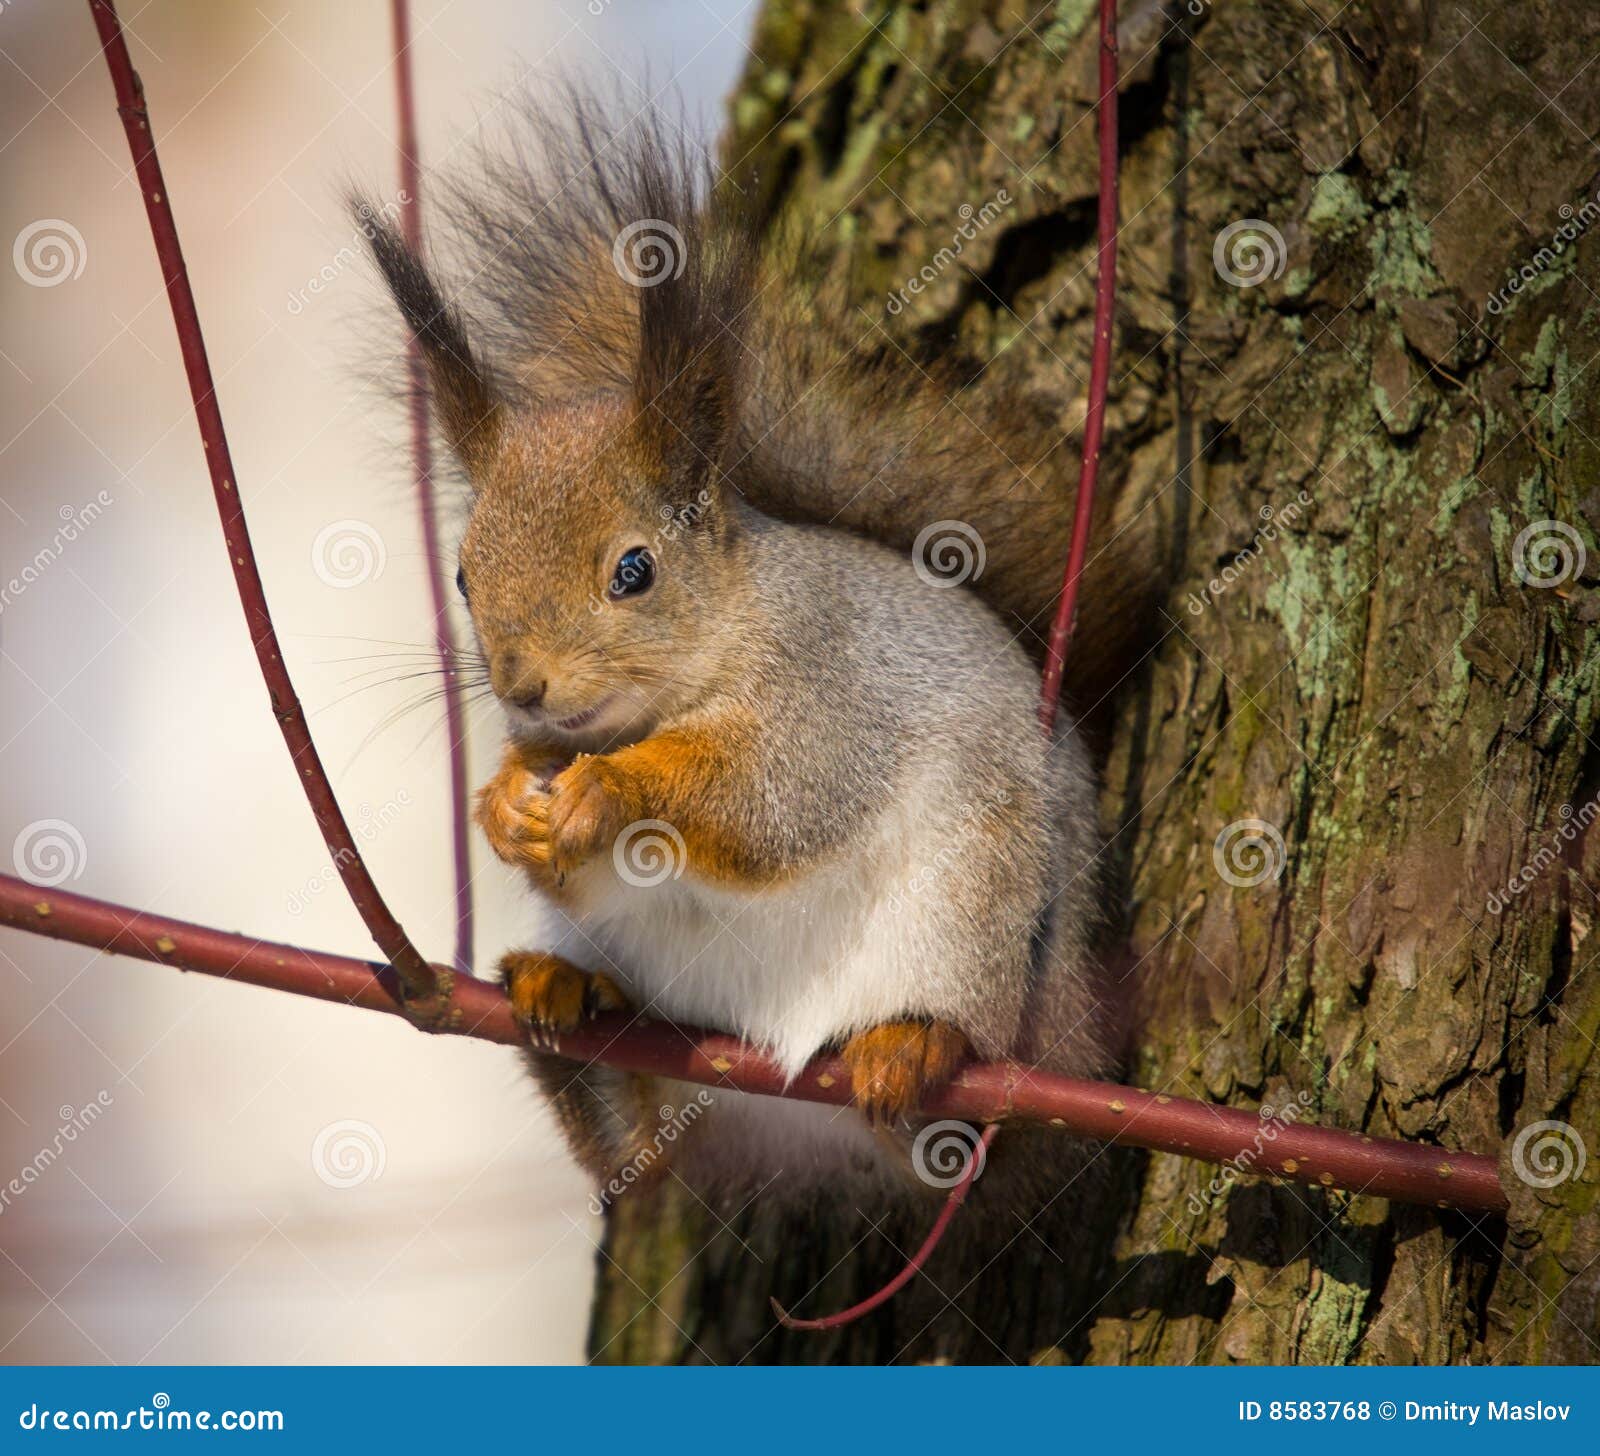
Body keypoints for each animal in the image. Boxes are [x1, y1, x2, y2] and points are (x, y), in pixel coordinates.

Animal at [359, 97, 1141, 1214]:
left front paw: (612, 790)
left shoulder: (831, 691)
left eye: (633, 570)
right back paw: (568, 996)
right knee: (635, 1145)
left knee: (952, 1115)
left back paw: (911, 1047)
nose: (524, 686)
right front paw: (508, 803)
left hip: (976, 922)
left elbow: (767, 797)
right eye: (464, 576)